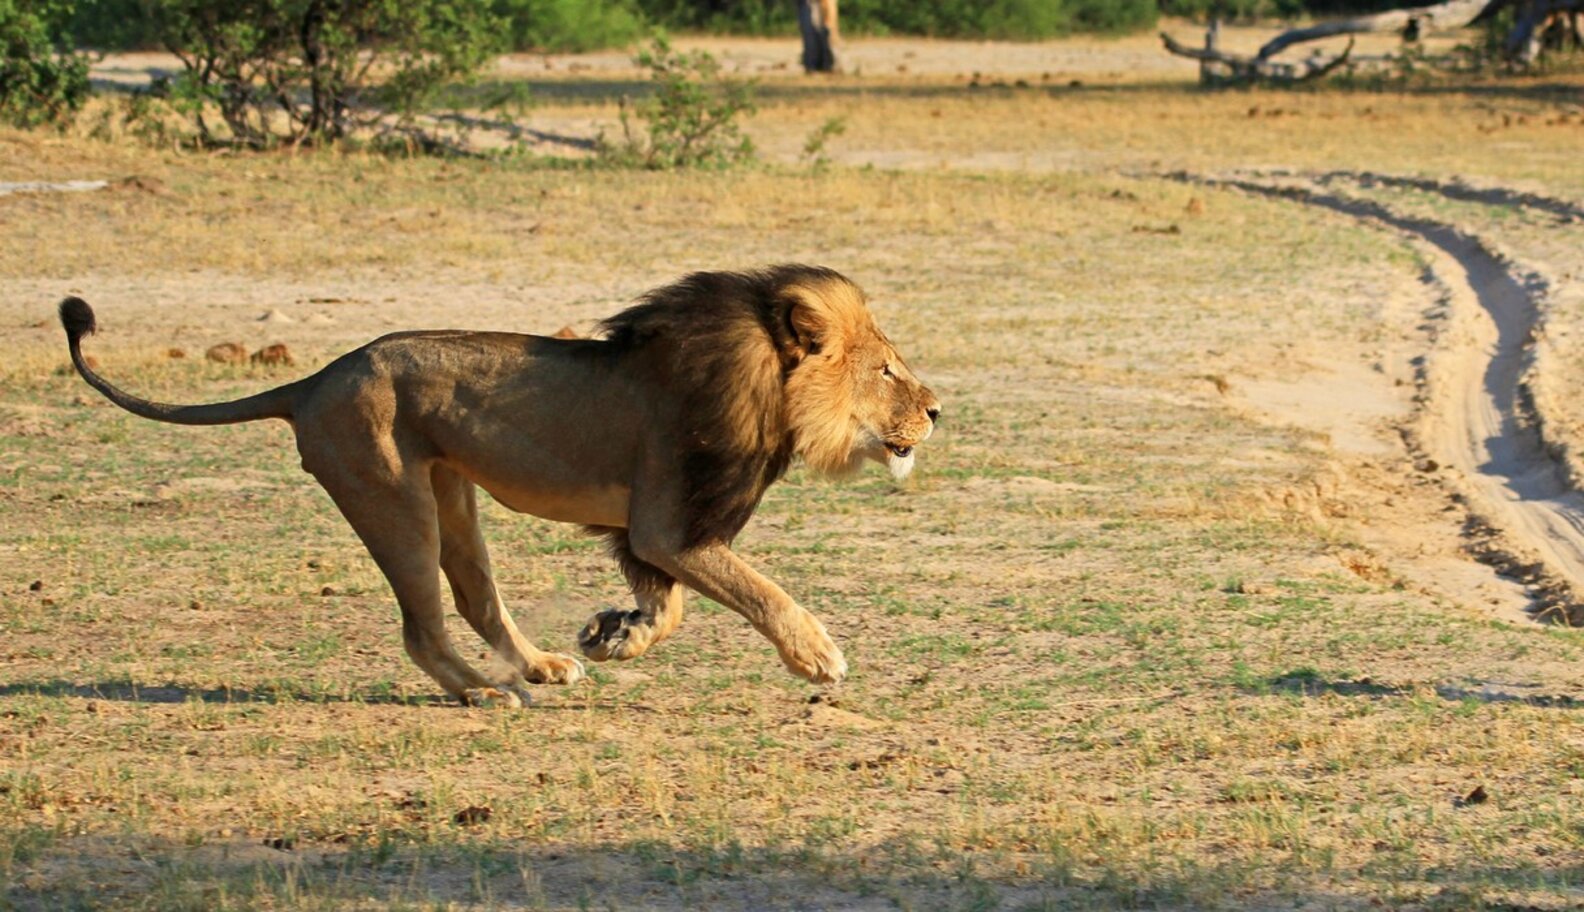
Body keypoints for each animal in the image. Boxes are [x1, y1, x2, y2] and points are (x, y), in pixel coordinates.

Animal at [59, 265, 941, 707]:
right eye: (886, 369)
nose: (937, 409)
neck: (762, 382)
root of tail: (312, 380)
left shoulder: (653, 532)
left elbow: (675, 606)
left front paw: (612, 635)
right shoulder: (668, 525)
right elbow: (759, 588)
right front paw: (818, 656)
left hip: (452, 497)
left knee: (477, 597)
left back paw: (543, 667)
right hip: (394, 500)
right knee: (423, 627)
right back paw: (486, 695)